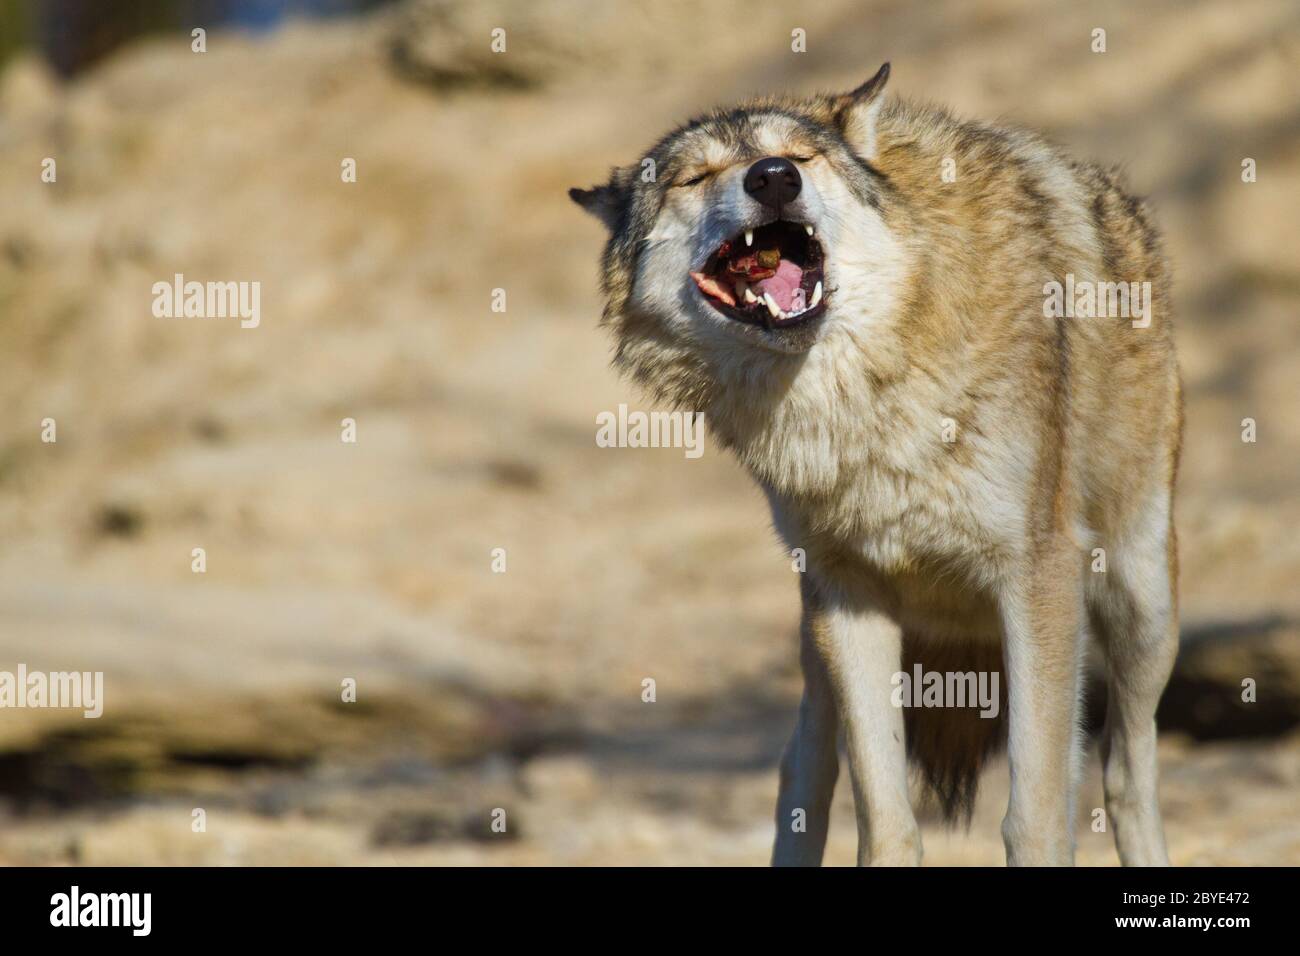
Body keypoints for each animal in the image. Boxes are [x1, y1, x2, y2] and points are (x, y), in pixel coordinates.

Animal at [571, 64, 1182, 866]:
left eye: (800, 157)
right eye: (695, 178)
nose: (772, 180)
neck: (866, 402)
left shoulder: (1038, 575)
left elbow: (1037, 815)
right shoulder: (849, 595)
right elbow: (884, 818)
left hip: (1141, 608)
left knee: (1128, 777)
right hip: (817, 640)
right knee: (801, 771)